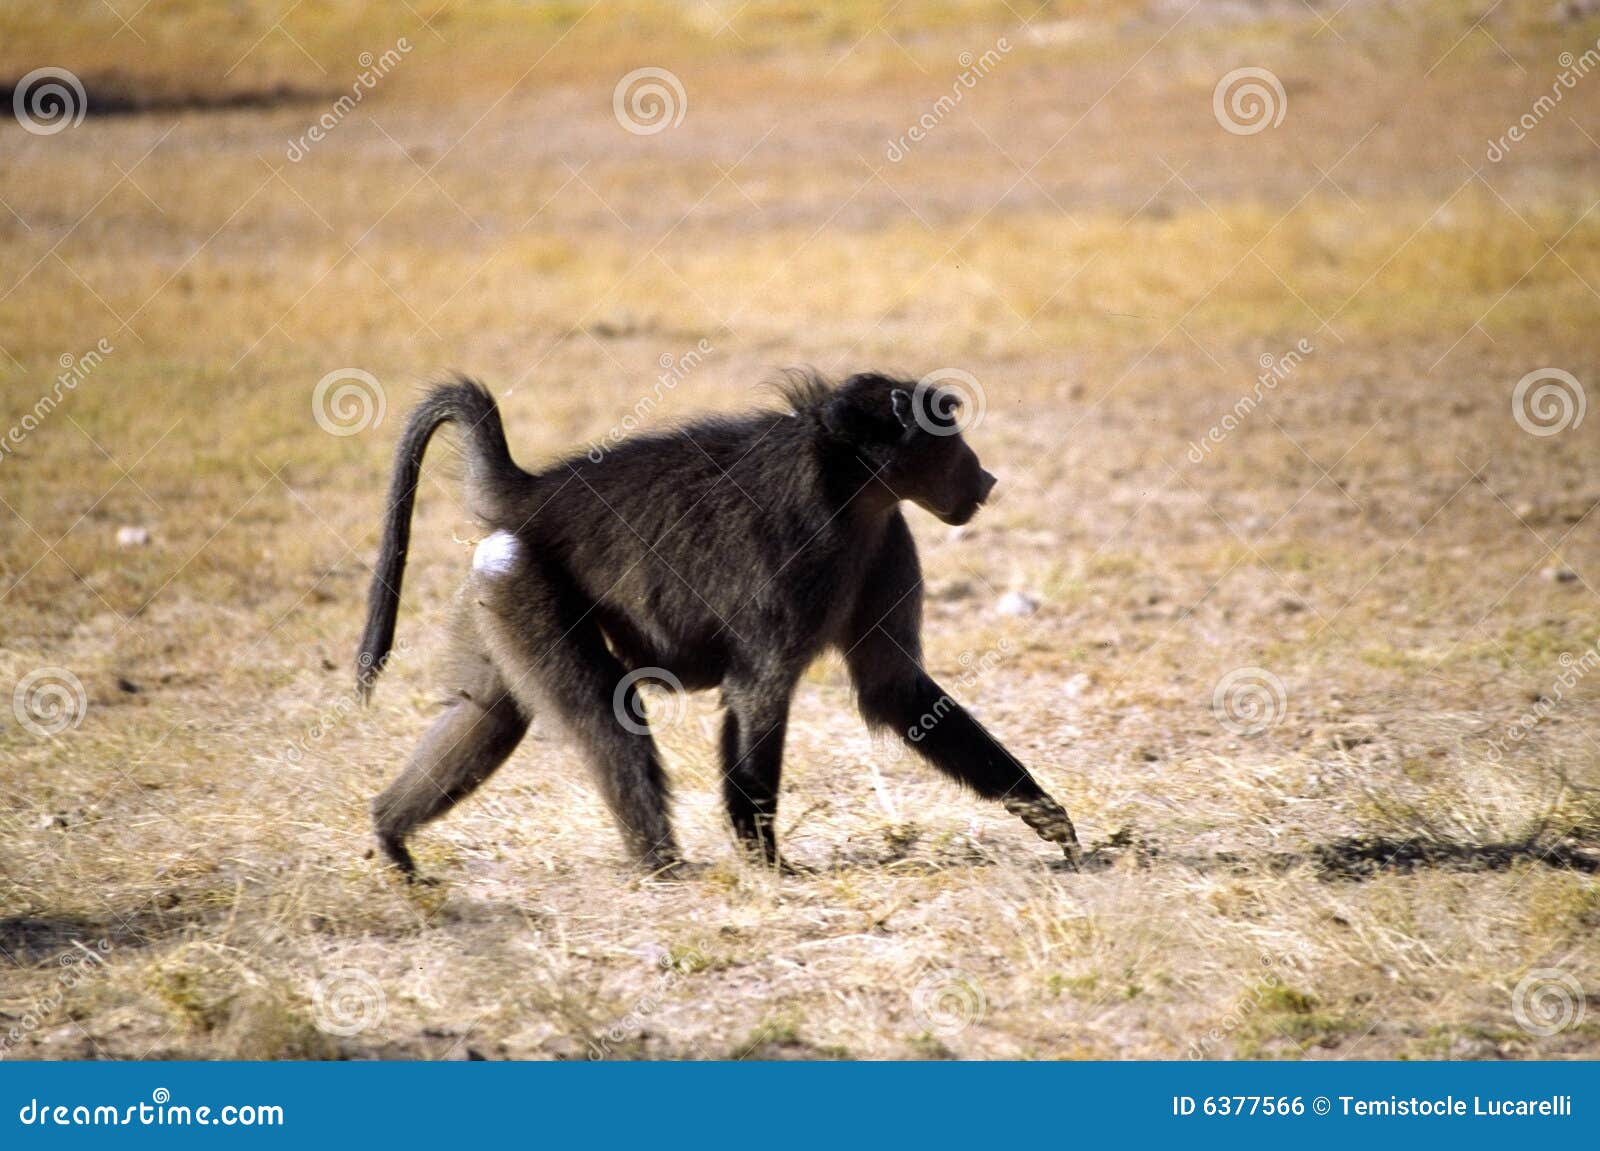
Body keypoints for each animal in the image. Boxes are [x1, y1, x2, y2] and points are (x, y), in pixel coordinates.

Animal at [357, 371, 1081, 879]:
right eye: (950, 436)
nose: (986, 477)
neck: (848, 486)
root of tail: (533, 492)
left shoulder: (889, 540)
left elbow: (894, 689)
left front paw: (1043, 812)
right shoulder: (797, 560)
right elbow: (759, 693)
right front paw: (765, 860)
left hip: (496, 585)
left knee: (486, 711)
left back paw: (391, 836)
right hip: (526, 583)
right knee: (604, 722)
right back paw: (662, 868)